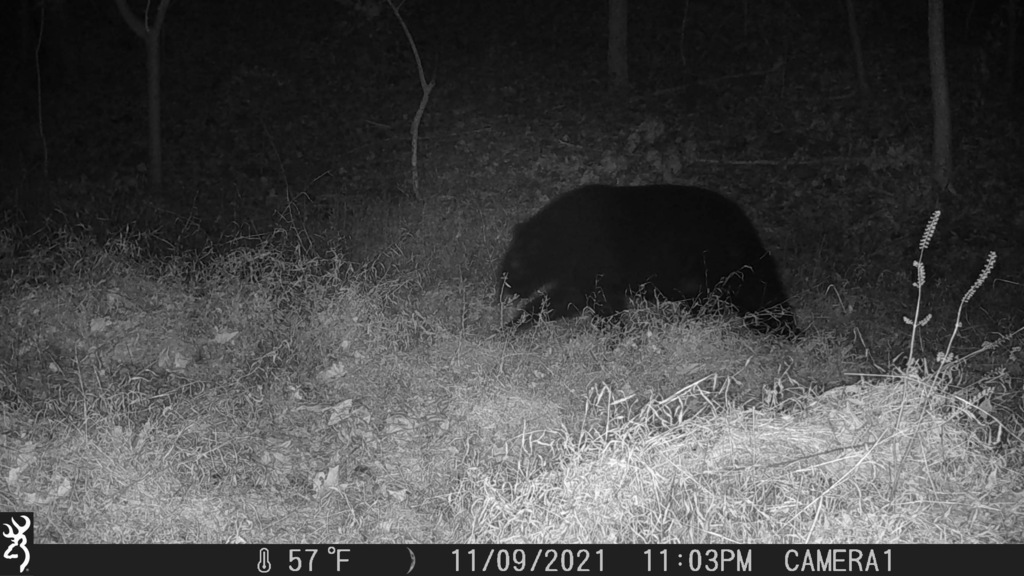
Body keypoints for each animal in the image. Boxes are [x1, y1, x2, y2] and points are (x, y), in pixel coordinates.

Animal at [497, 184, 798, 336]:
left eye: (511, 264)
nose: (502, 287)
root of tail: (747, 228)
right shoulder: (580, 273)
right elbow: (560, 299)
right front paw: (513, 325)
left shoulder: (598, 260)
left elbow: (604, 303)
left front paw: (614, 336)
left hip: (724, 263)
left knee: (759, 294)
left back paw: (784, 329)